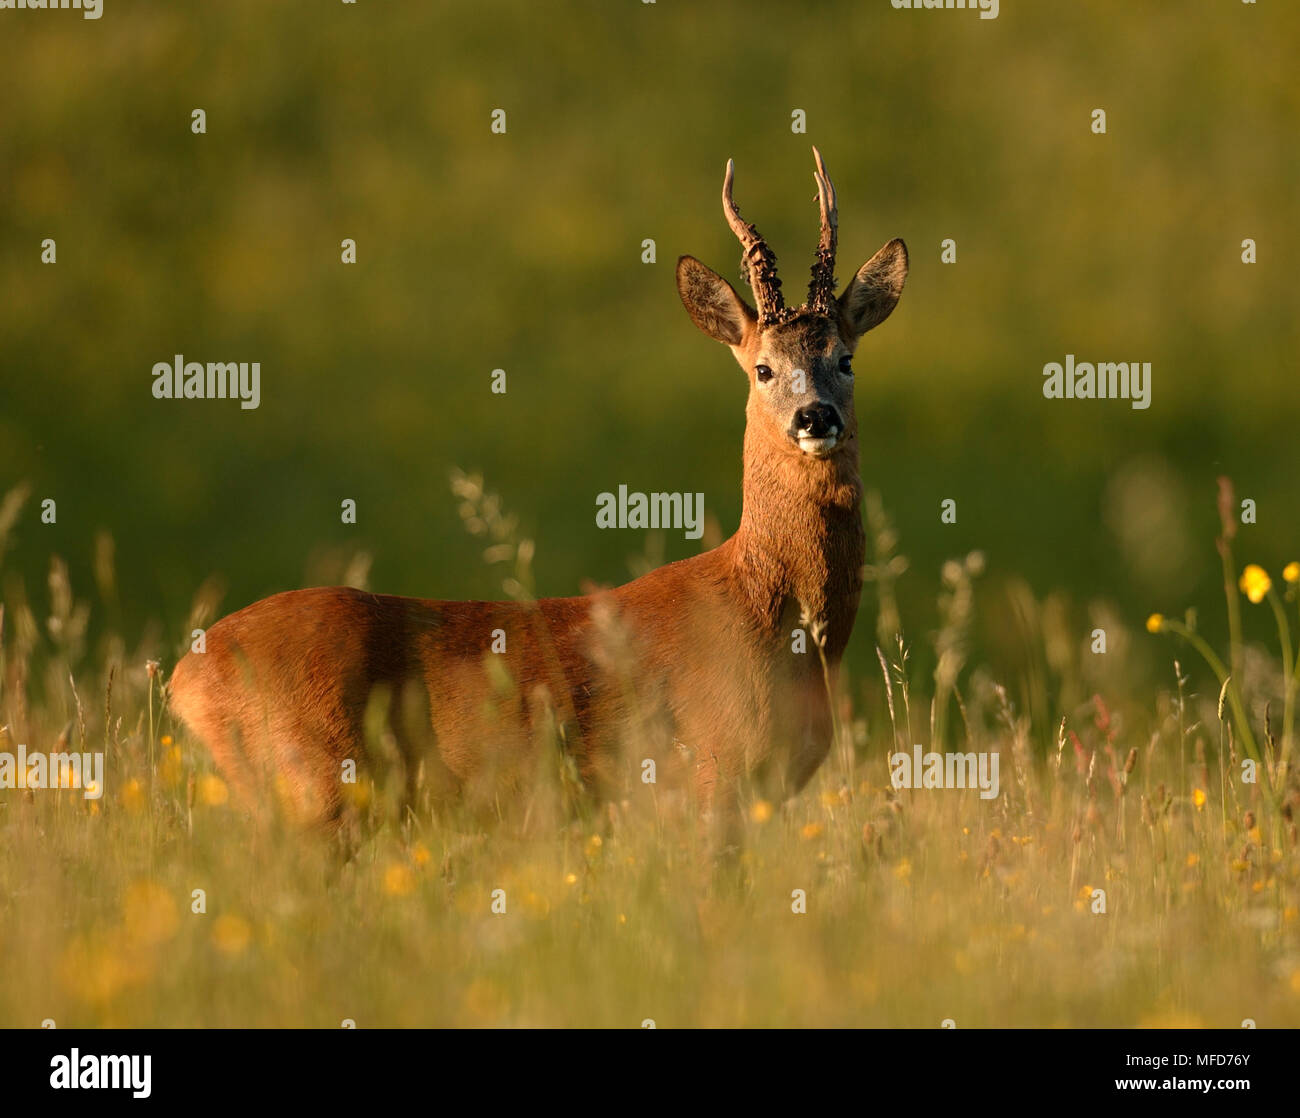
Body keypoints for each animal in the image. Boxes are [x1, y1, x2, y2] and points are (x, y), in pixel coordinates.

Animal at [168, 147, 908, 845]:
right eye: (763, 369)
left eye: (845, 359)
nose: (815, 417)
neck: (773, 612)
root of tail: (184, 678)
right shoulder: (709, 776)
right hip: (313, 789)